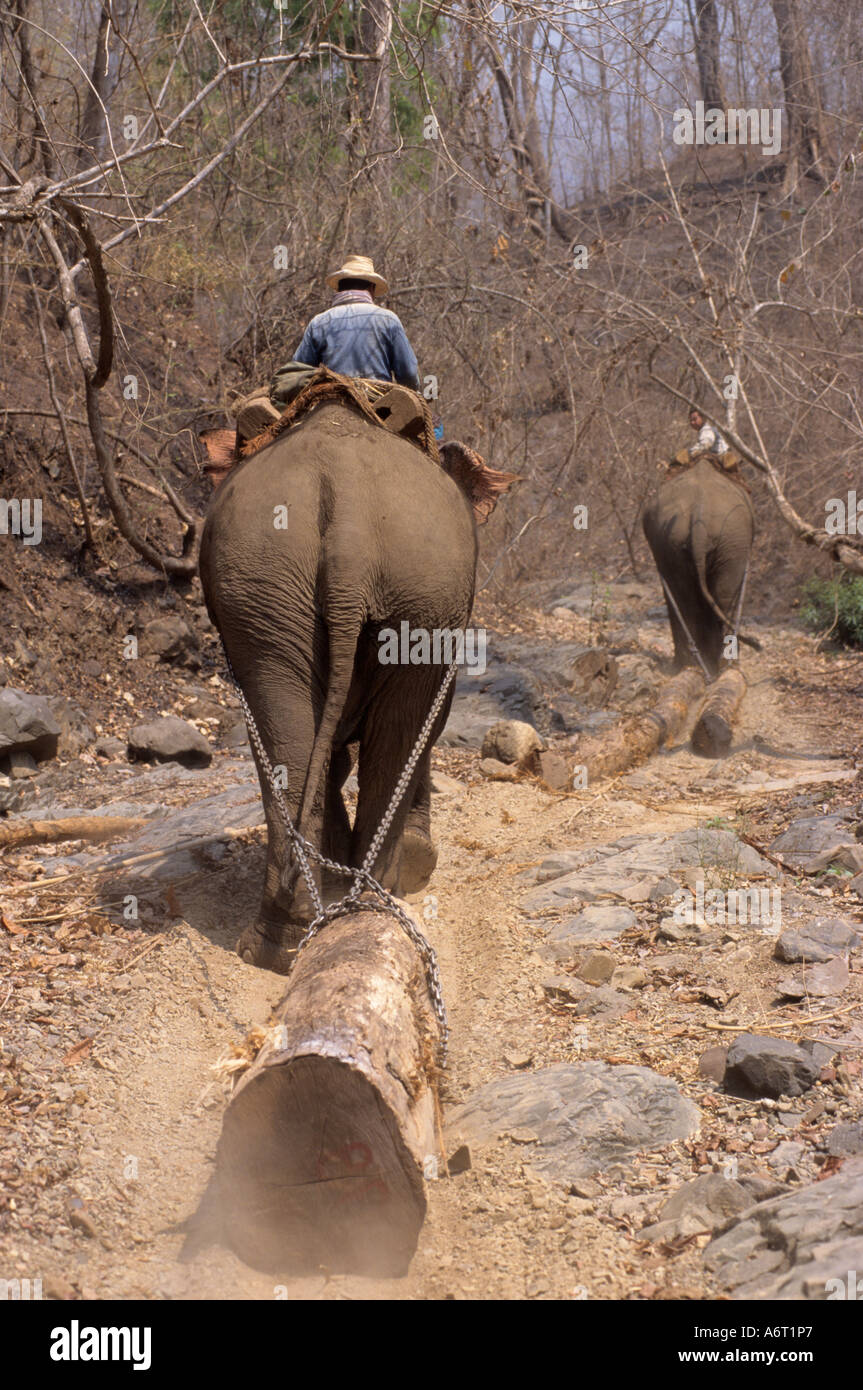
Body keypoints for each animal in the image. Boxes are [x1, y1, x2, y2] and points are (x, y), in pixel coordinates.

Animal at [199, 402, 513, 973]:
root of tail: (345, 510)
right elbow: (431, 721)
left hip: (268, 592)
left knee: (287, 728)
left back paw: (285, 937)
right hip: (407, 596)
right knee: (395, 727)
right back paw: (371, 891)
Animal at [642, 458, 760, 678]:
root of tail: (699, 512)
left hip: (675, 542)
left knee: (687, 596)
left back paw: (695, 665)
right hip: (731, 542)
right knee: (718, 597)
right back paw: (720, 665)